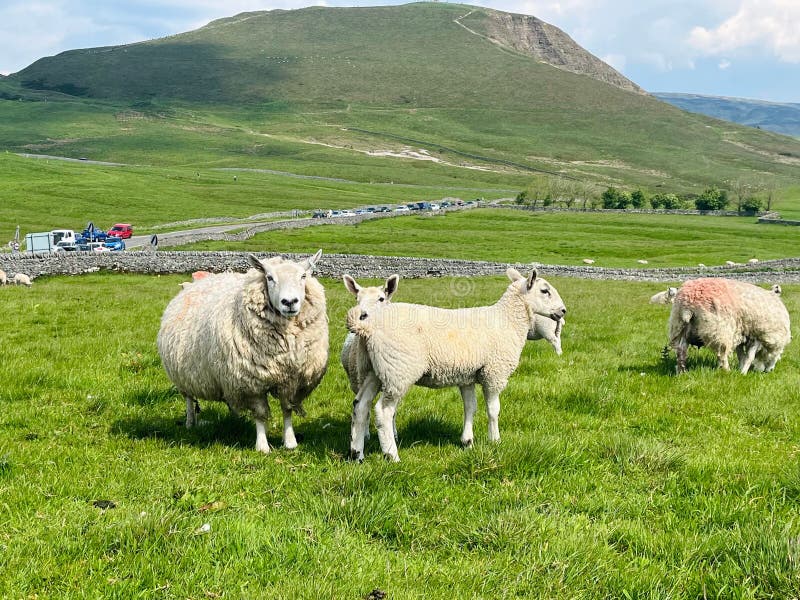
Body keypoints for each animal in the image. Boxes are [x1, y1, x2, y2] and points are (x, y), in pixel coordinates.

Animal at [157, 250, 329, 453]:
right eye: (269, 277)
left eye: (303, 276)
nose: (289, 302)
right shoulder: (251, 382)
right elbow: (260, 414)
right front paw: (262, 446)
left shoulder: (291, 381)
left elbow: (287, 410)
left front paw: (290, 442)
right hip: (184, 376)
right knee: (190, 400)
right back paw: (190, 422)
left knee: (229, 400)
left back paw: (235, 418)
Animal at [346, 267, 566, 462]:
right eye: (544, 291)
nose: (563, 311)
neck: (508, 320)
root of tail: (367, 327)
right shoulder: (495, 373)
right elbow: (493, 410)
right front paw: (495, 440)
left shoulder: (466, 375)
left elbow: (470, 407)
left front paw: (467, 442)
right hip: (398, 370)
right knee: (383, 412)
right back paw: (392, 456)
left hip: (373, 370)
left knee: (360, 405)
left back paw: (357, 454)